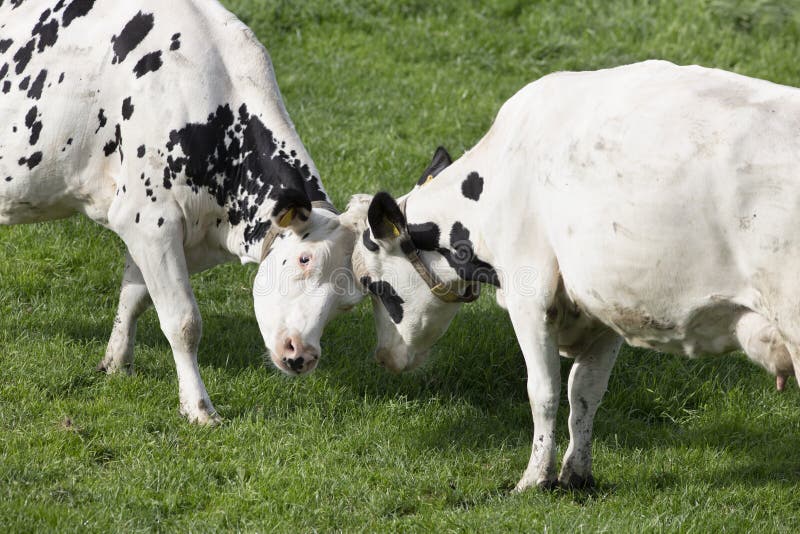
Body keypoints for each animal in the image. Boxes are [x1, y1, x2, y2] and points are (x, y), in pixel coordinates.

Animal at [0, 0, 362, 424]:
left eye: (349, 302)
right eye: (304, 259)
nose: (301, 354)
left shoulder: (163, 230)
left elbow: (134, 298)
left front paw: (117, 364)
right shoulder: (148, 219)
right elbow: (183, 321)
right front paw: (199, 407)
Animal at [341, 60, 800, 491]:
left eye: (372, 284)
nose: (384, 357)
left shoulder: (530, 299)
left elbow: (542, 391)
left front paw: (534, 479)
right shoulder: (607, 305)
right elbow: (585, 392)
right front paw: (577, 475)